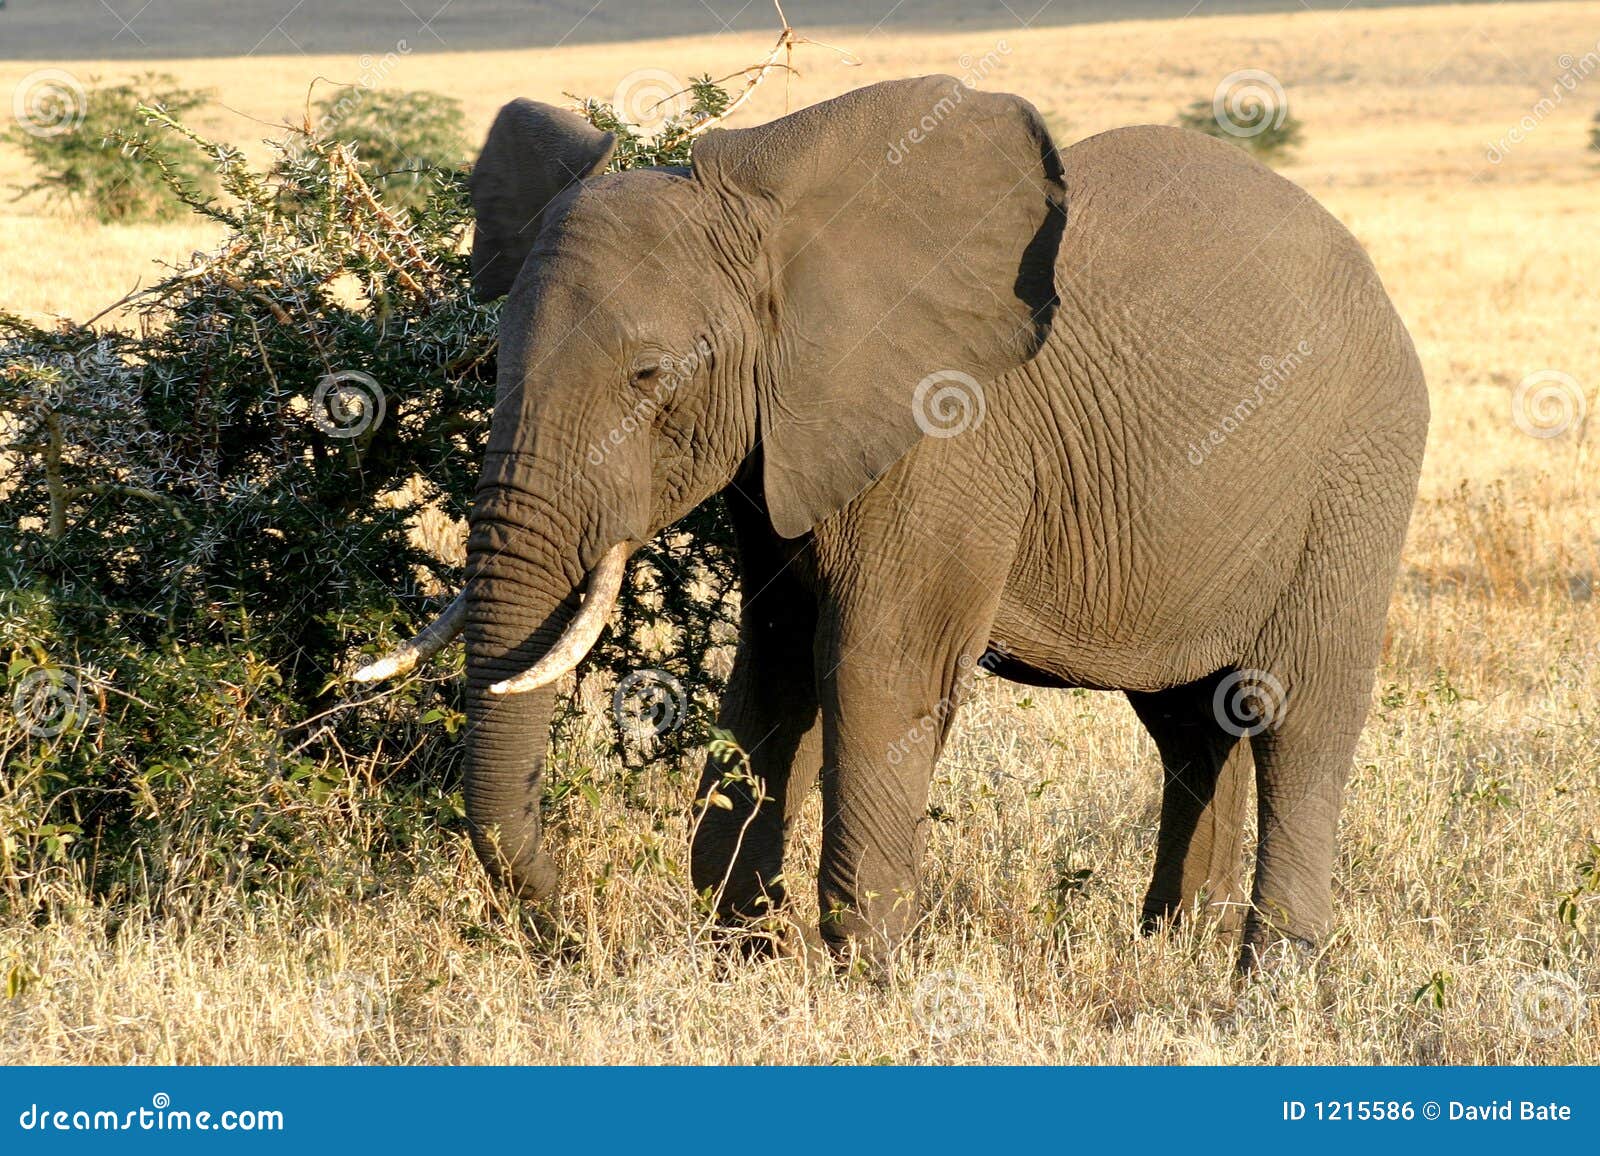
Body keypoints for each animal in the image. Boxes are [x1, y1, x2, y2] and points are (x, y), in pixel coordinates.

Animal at [355, 76, 1428, 972]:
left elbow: (878, 664)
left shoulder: (947, 437)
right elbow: (774, 668)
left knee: (1295, 714)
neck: (780, 242)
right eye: (490, 365)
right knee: (1192, 725)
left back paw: (1270, 977)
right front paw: (742, 953)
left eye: (650, 376)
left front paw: (865, 969)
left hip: (1358, 468)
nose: (572, 935)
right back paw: (1172, 949)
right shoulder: (779, 438)